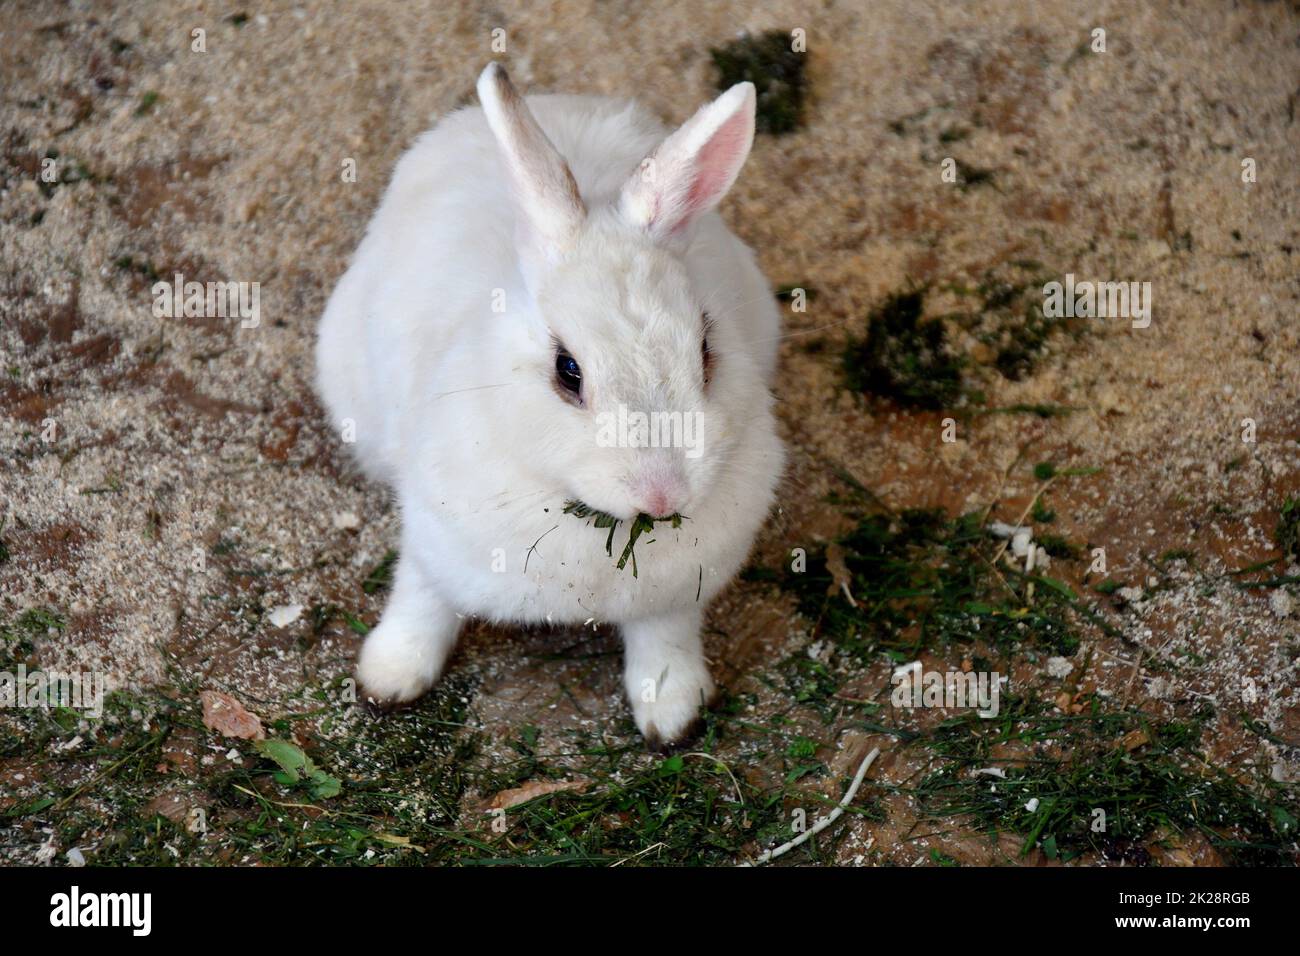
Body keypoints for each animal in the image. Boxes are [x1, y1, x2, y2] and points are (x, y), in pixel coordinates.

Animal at [316, 63, 784, 749]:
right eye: (568, 371)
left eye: (705, 350)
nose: (662, 496)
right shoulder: (433, 547)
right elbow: (419, 604)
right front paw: (387, 679)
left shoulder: (674, 601)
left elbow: (663, 645)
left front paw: (672, 716)